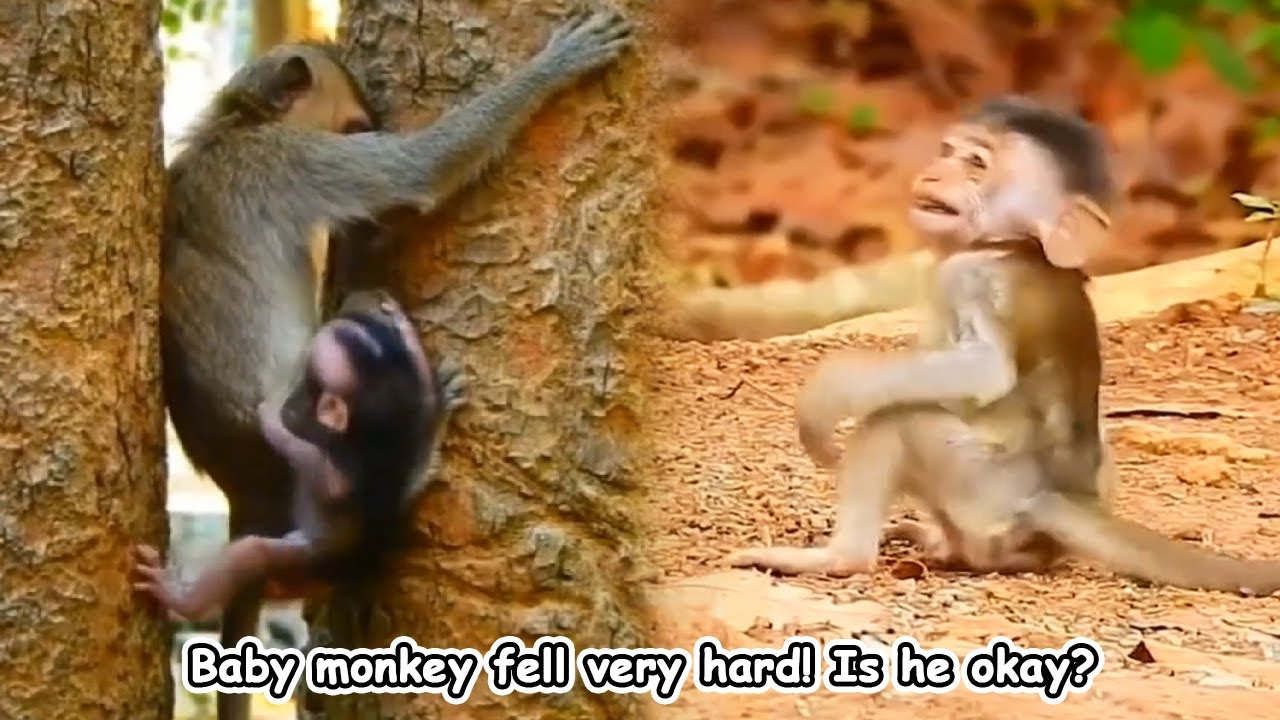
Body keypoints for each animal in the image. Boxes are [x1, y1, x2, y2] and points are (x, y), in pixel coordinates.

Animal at [135, 290, 465, 622]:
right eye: (376, 328)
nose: (376, 299)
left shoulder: (337, 457)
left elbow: (311, 462)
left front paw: (271, 414)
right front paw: (439, 400)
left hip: (303, 558)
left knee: (253, 553)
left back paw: (178, 597)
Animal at [728, 96, 1280, 596]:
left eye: (975, 163)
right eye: (946, 151)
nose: (934, 173)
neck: (1014, 246)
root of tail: (1050, 498)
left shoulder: (969, 277)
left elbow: (984, 369)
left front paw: (831, 389)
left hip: (980, 489)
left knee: (900, 419)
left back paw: (842, 558)